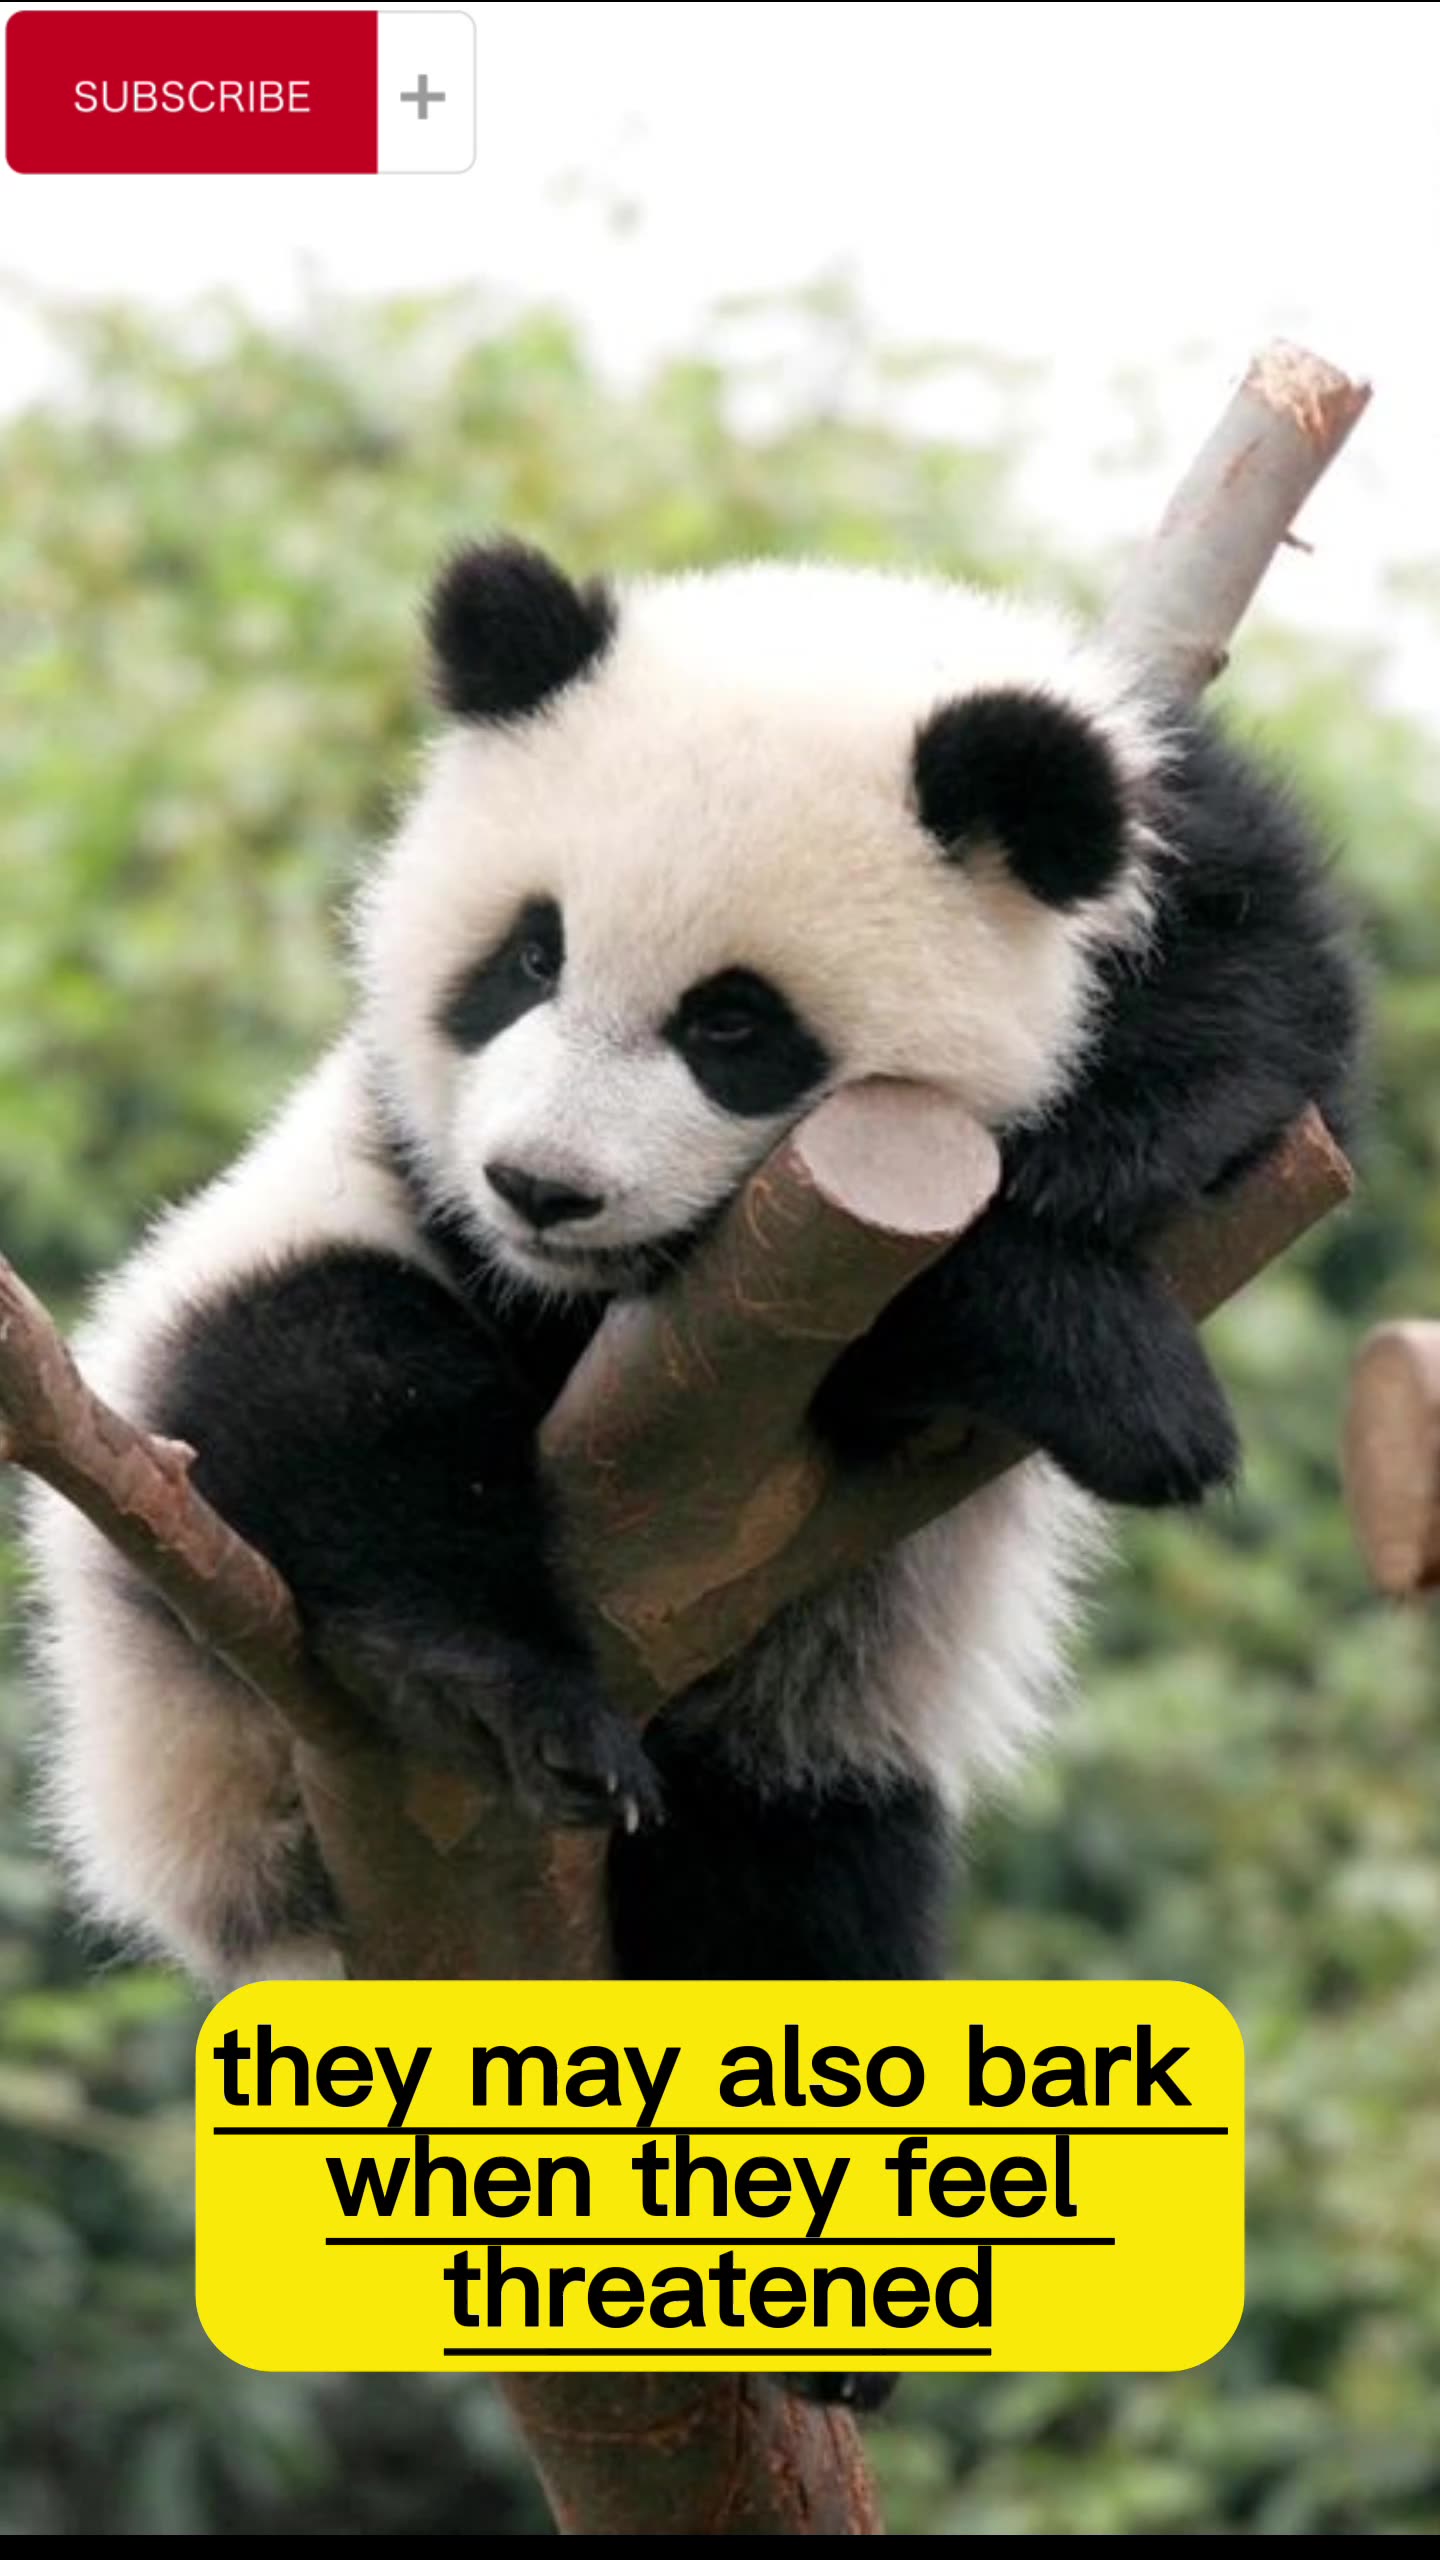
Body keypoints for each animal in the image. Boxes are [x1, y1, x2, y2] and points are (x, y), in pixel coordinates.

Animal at [26, 539, 1360, 2008]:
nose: (540, 1186)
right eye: (529, 957)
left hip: (798, 1757)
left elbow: (1256, 1035)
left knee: (796, 1900)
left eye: (733, 1024)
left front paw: (1100, 1182)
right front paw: (1113, 1373)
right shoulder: (467, 1216)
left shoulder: (1195, 874)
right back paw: (482, 1682)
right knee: (326, 1376)